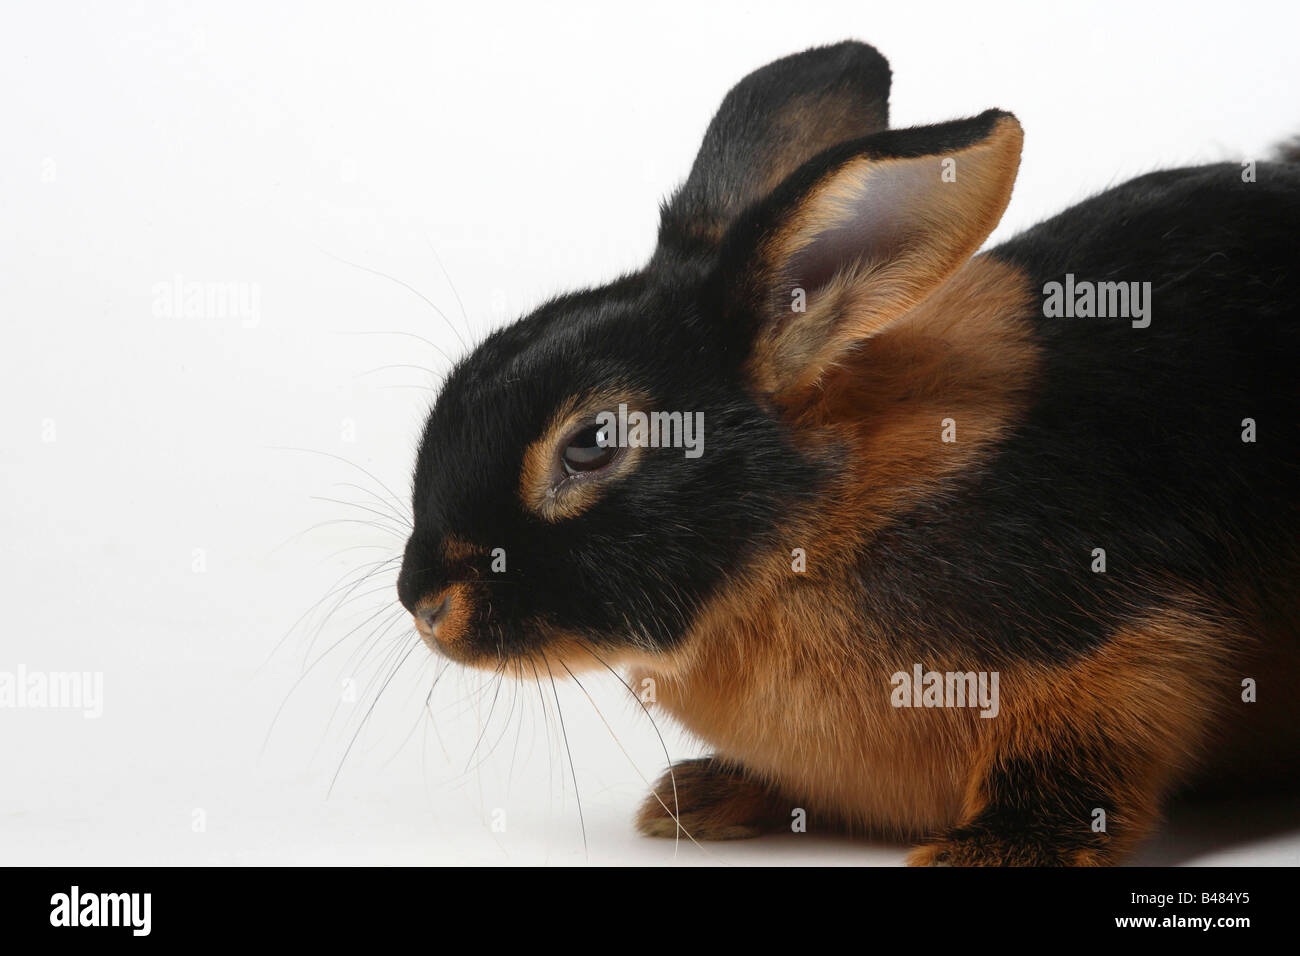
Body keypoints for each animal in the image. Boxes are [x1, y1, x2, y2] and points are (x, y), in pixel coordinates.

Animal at [395, 40, 1300, 865]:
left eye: (592, 444)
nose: (425, 604)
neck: (810, 530)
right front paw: (700, 798)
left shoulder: (1120, 649)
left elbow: (1084, 755)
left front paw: (992, 851)